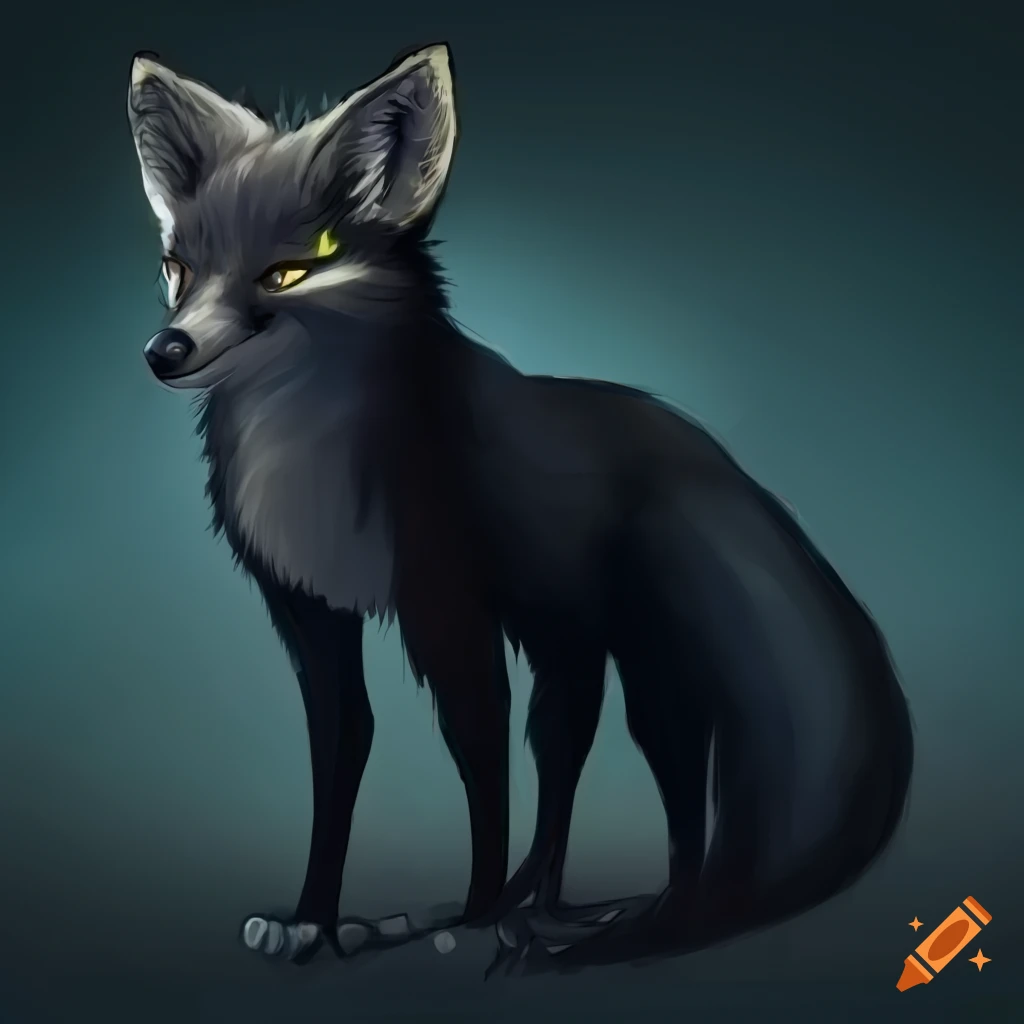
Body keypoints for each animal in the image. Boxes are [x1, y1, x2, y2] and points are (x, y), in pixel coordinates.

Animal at [127, 43, 914, 974]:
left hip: (620, 664)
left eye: (287, 271)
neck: (308, 465)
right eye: (180, 268)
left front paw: (468, 918)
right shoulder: (312, 615)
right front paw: (314, 922)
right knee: (591, 764)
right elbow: (343, 759)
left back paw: (591, 914)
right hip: (576, 651)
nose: (165, 350)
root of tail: (709, 451)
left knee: (637, 776)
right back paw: (569, 909)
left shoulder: (448, 610)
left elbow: (480, 762)